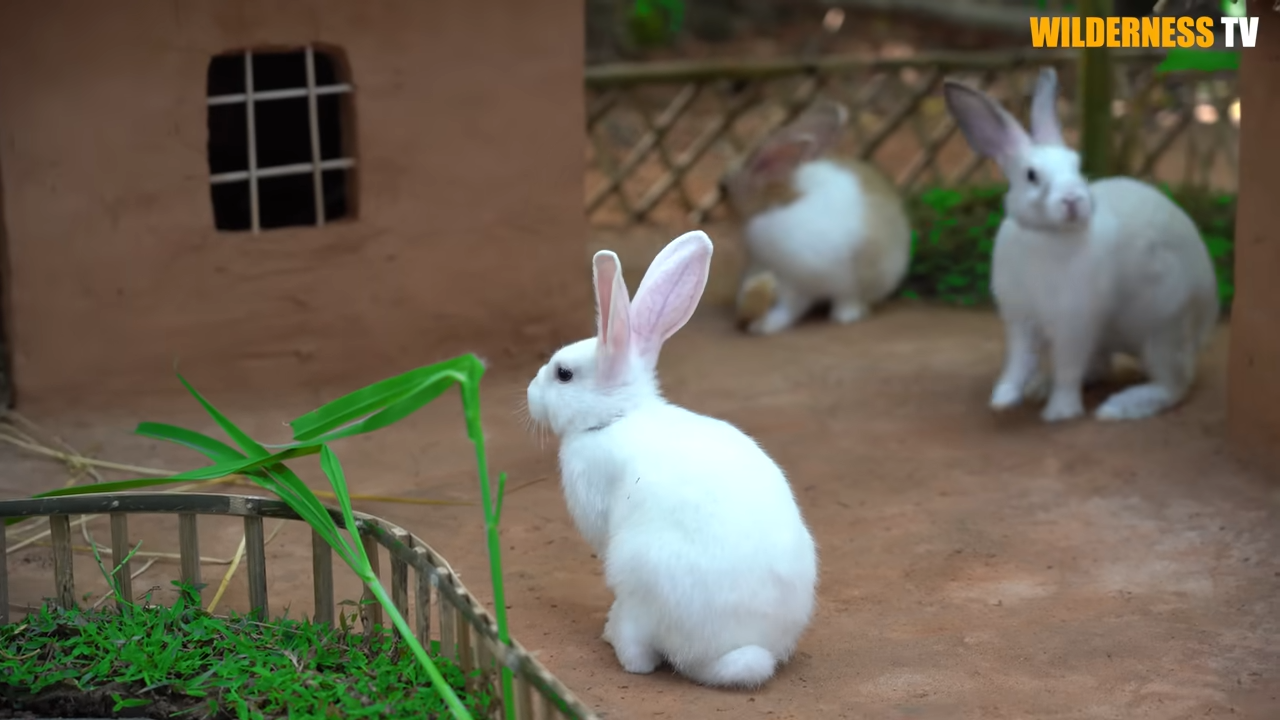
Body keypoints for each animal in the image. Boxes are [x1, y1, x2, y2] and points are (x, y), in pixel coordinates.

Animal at [525, 230, 819, 689]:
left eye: (563, 374)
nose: (529, 393)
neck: (618, 416)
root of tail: (739, 651)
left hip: (637, 577)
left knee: (641, 654)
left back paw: (614, 637)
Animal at [720, 100, 913, 335]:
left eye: (723, 189)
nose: (720, 189)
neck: (773, 204)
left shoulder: (798, 281)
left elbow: (788, 309)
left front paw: (763, 325)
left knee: (851, 297)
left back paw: (845, 316)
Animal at [942, 67, 1219, 423]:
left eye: (1076, 165)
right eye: (1031, 175)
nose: (1073, 200)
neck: (1046, 234)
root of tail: (1206, 318)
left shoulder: (1076, 322)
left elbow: (1068, 367)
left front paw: (1060, 413)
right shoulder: (1020, 320)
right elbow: (1018, 360)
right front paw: (1003, 399)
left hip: (1162, 331)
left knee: (1175, 384)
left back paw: (1120, 406)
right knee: (1101, 367)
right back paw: (1040, 388)